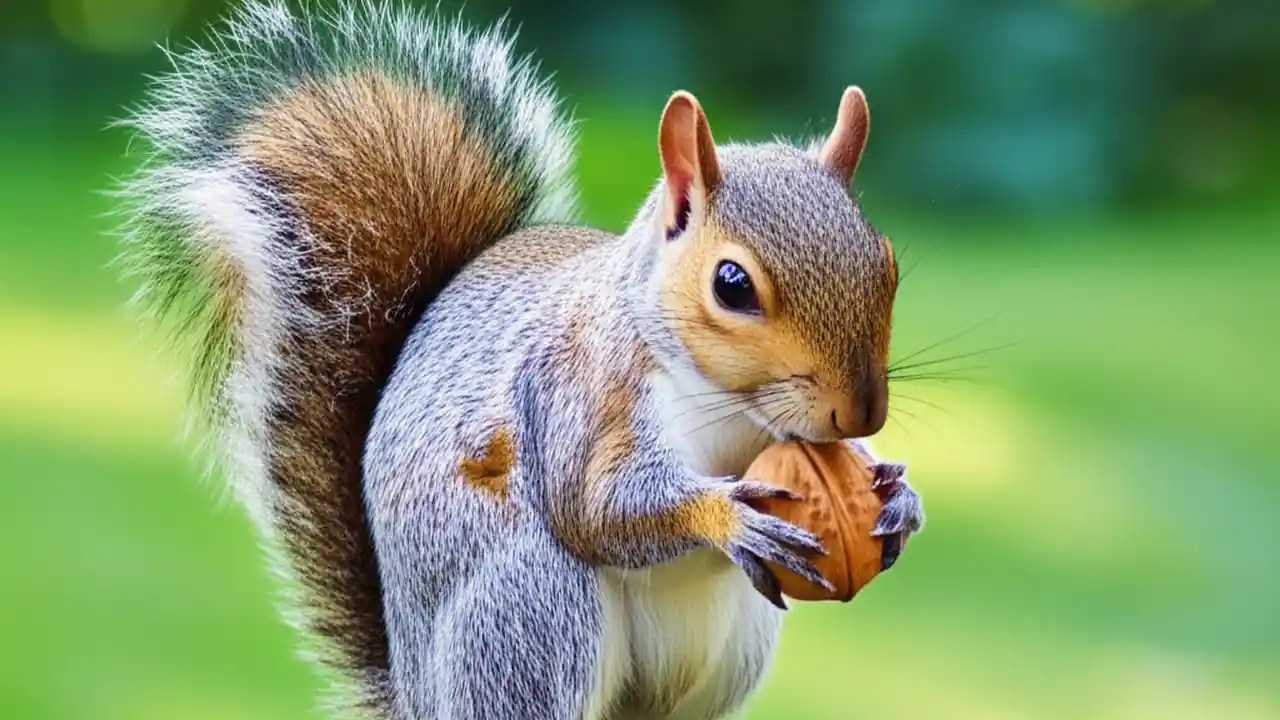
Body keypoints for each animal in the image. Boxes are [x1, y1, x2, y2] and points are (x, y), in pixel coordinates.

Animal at [118, 1, 924, 718]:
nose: (861, 411)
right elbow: (595, 507)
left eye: (887, 262)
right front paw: (726, 515)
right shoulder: (582, 393)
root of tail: (417, 695)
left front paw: (898, 494)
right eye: (732, 285)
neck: (735, 409)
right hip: (529, 612)